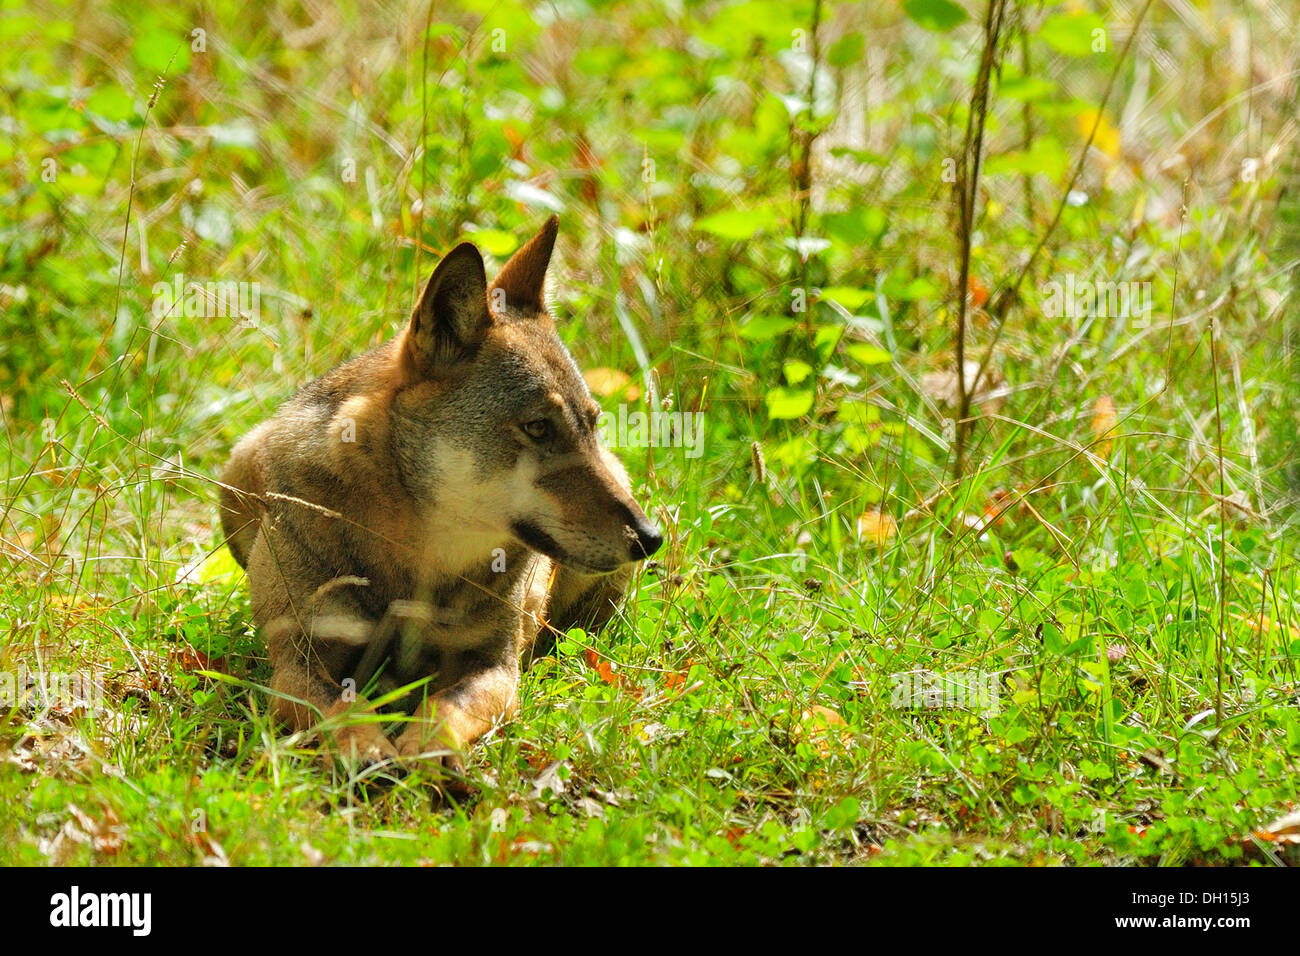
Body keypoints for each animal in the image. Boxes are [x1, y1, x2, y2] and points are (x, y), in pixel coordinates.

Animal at [218, 217, 661, 771]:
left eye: (591, 426)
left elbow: (447, 705)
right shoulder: (298, 660)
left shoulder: (494, 666)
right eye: (538, 428)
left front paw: (427, 751)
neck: (416, 559)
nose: (650, 537)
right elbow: (342, 708)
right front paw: (368, 749)